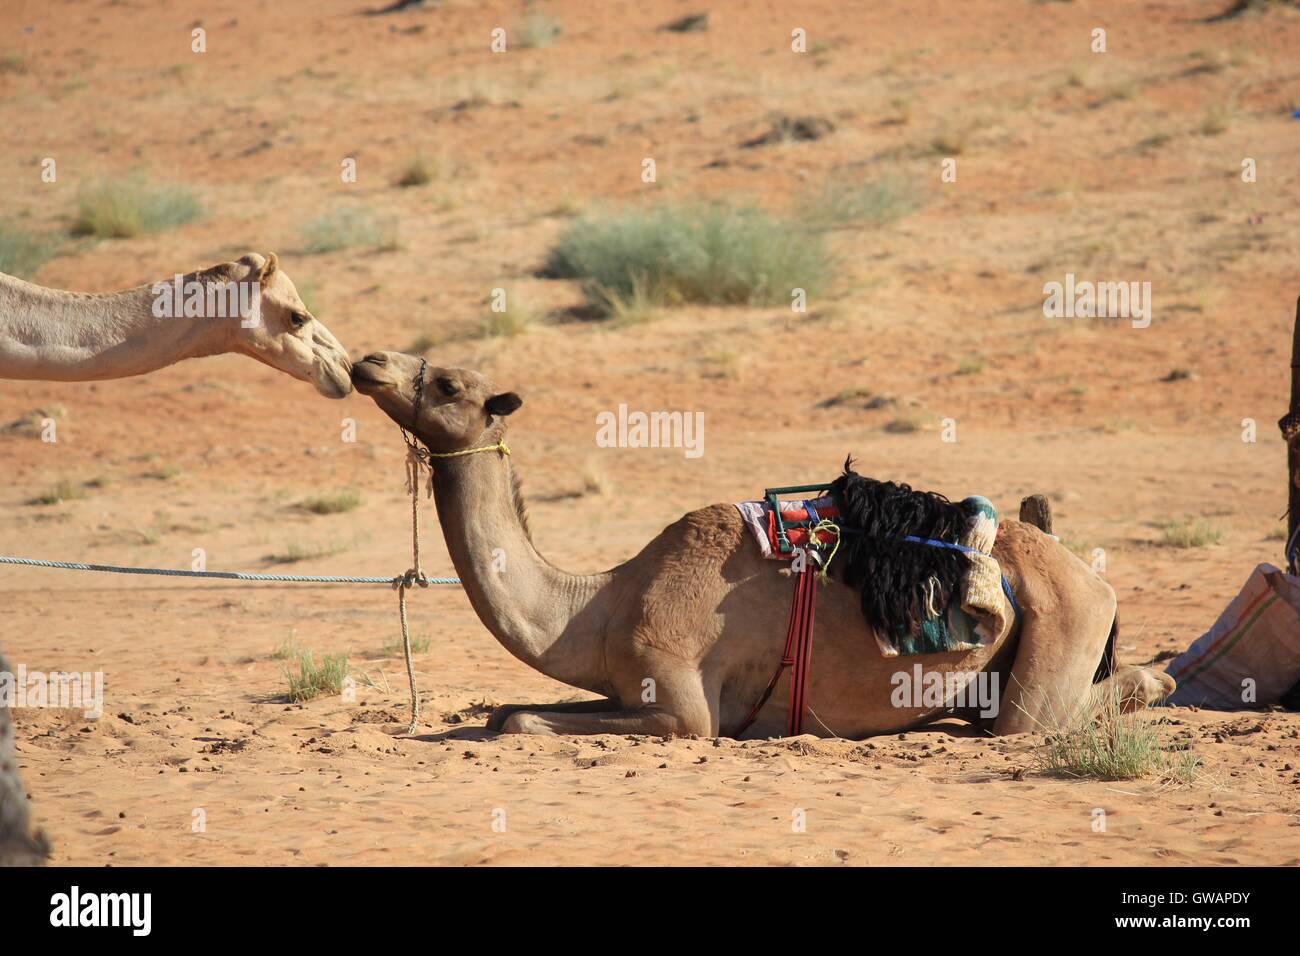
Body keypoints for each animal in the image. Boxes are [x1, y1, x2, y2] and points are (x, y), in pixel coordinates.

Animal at [352, 351, 1175, 738]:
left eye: (450, 384)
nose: (369, 362)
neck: (601, 603)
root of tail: (1088, 569)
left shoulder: (684, 707)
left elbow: (520, 721)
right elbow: (503, 712)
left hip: (1060, 628)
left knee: (1050, 714)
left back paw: (1156, 682)